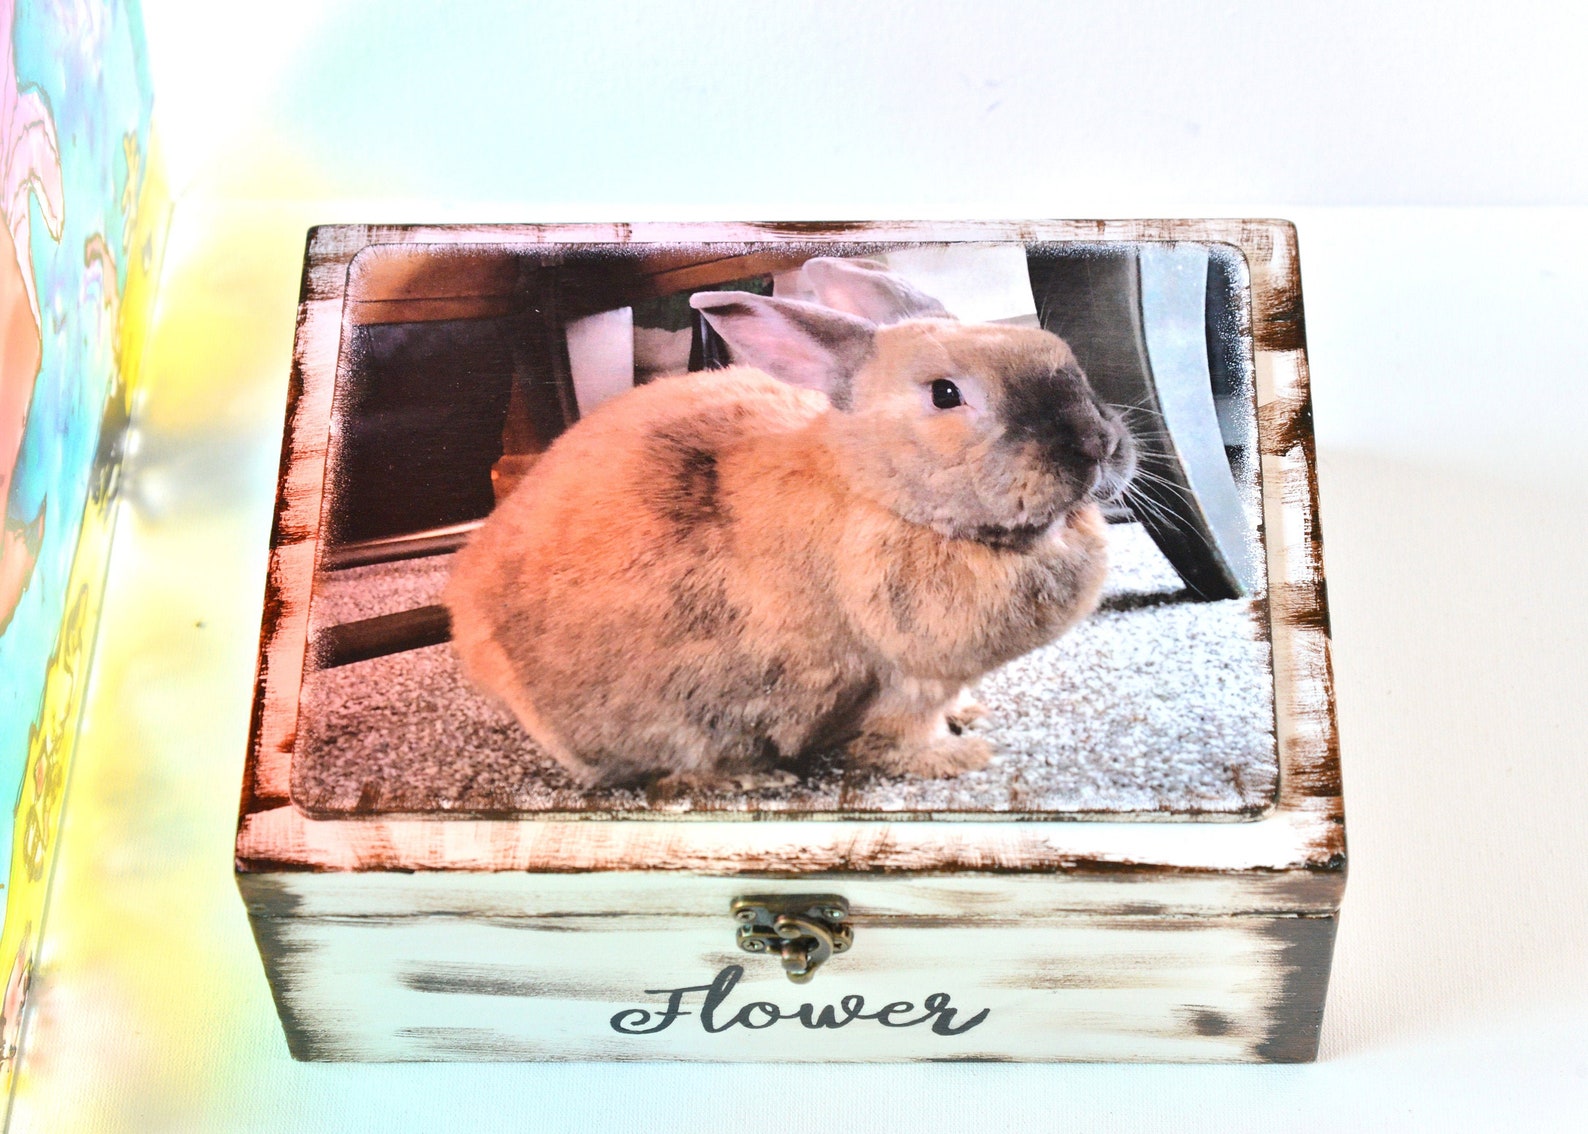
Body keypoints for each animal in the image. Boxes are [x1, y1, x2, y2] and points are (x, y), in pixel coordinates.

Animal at [444, 256, 1136, 790]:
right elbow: (908, 731)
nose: (1097, 444)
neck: (871, 491)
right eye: (945, 394)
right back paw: (754, 779)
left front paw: (973, 718)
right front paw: (959, 758)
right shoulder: (907, 679)